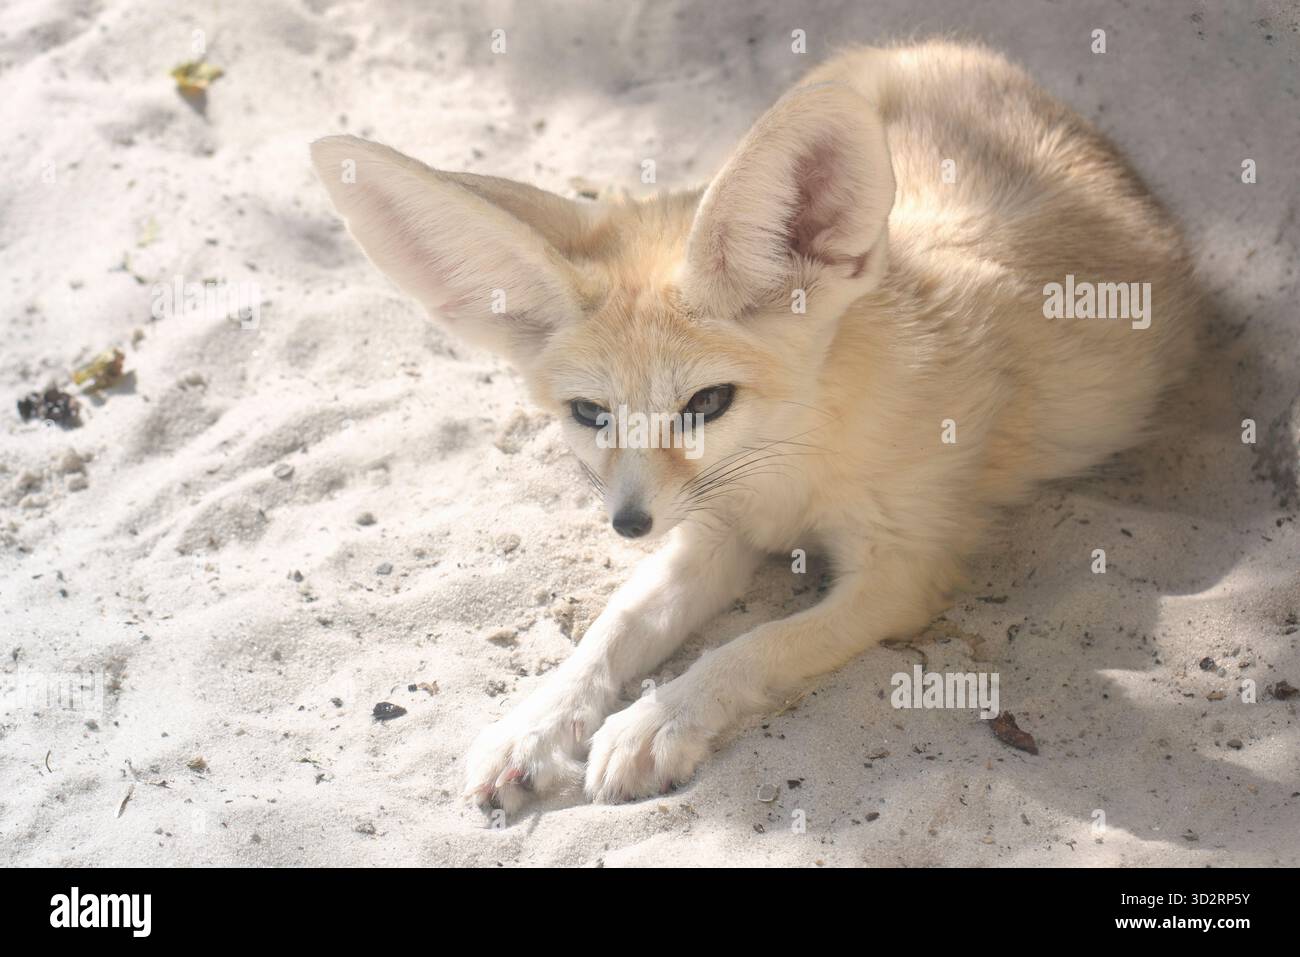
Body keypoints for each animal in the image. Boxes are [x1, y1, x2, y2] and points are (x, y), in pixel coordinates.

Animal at [311, 40, 1198, 812]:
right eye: (590, 414)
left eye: (707, 404)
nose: (627, 524)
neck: (791, 467)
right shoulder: (714, 528)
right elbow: (614, 625)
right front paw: (535, 722)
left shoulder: (903, 569)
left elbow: (756, 643)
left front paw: (659, 716)